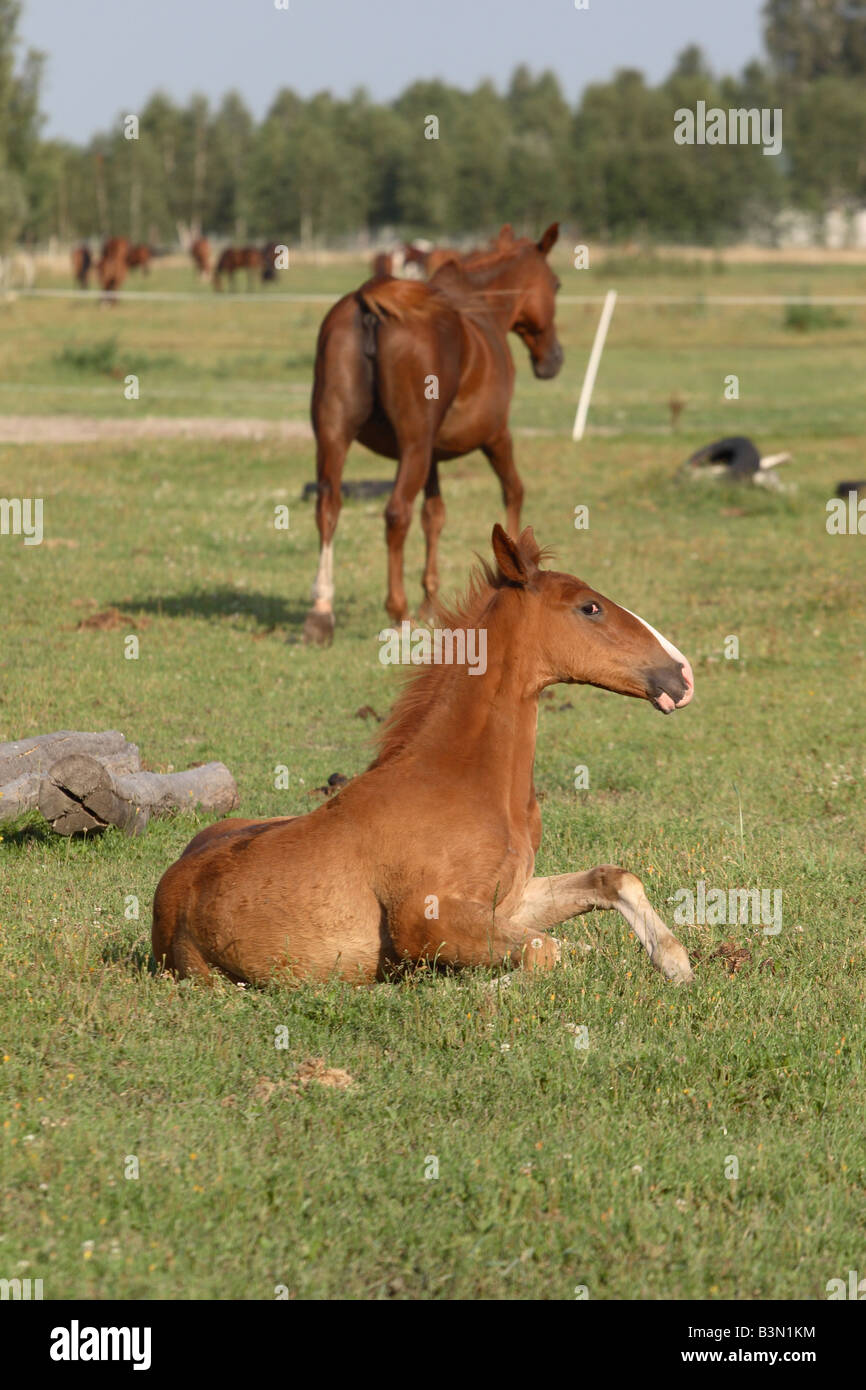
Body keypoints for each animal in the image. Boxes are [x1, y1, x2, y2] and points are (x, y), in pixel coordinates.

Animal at [152, 525, 695, 988]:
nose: (682, 674)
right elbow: (548, 951)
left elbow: (612, 879)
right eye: (590, 608)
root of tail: (167, 903)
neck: (465, 782)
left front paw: (675, 963)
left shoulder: (508, 901)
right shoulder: (421, 920)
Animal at [304, 222, 563, 644]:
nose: (553, 359)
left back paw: (321, 611)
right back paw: (398, 611)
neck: (482, 308)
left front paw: (430, 602)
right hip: (414, 447)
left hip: (335, 439)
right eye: (556, 285)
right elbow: (513, 492)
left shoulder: (433, 458)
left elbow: (434, 516)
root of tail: (369, 304)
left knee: (329, 507)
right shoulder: (496, 438)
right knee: (396, 514)